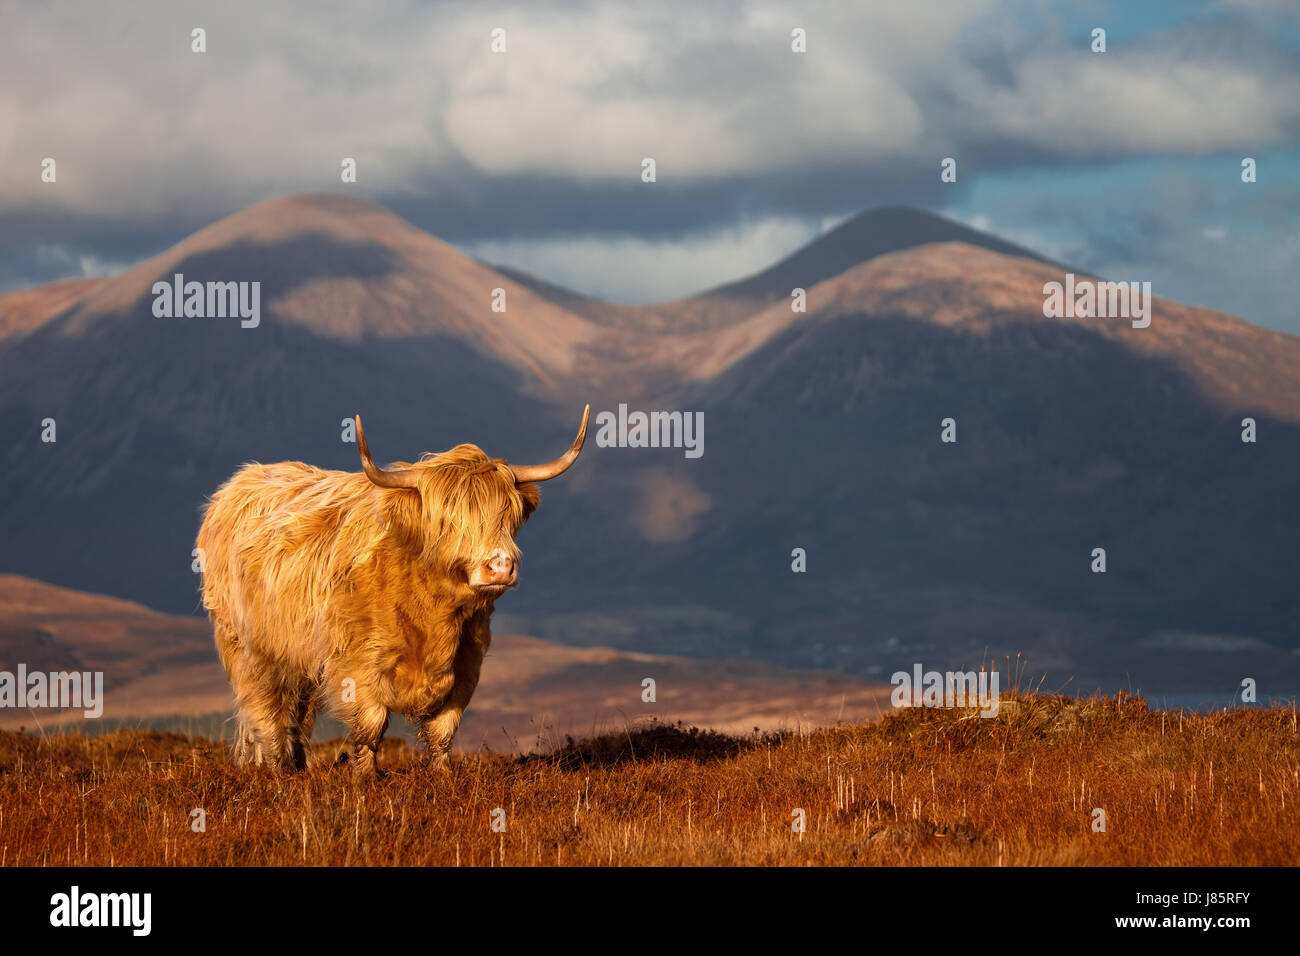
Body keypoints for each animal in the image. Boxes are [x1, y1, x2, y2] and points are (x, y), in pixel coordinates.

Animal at [196, 406, 589, 777]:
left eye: (508, 515)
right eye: (447, 520)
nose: (500, 566)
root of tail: (241, 481)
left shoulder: (467, 662)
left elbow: (444, 728)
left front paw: (443, 775)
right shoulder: (357, 664)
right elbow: (370, 725)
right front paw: (366, 778)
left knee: (298, 712)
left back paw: (299, 765)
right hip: (247, 648)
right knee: (266, 710)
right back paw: (278, 769)